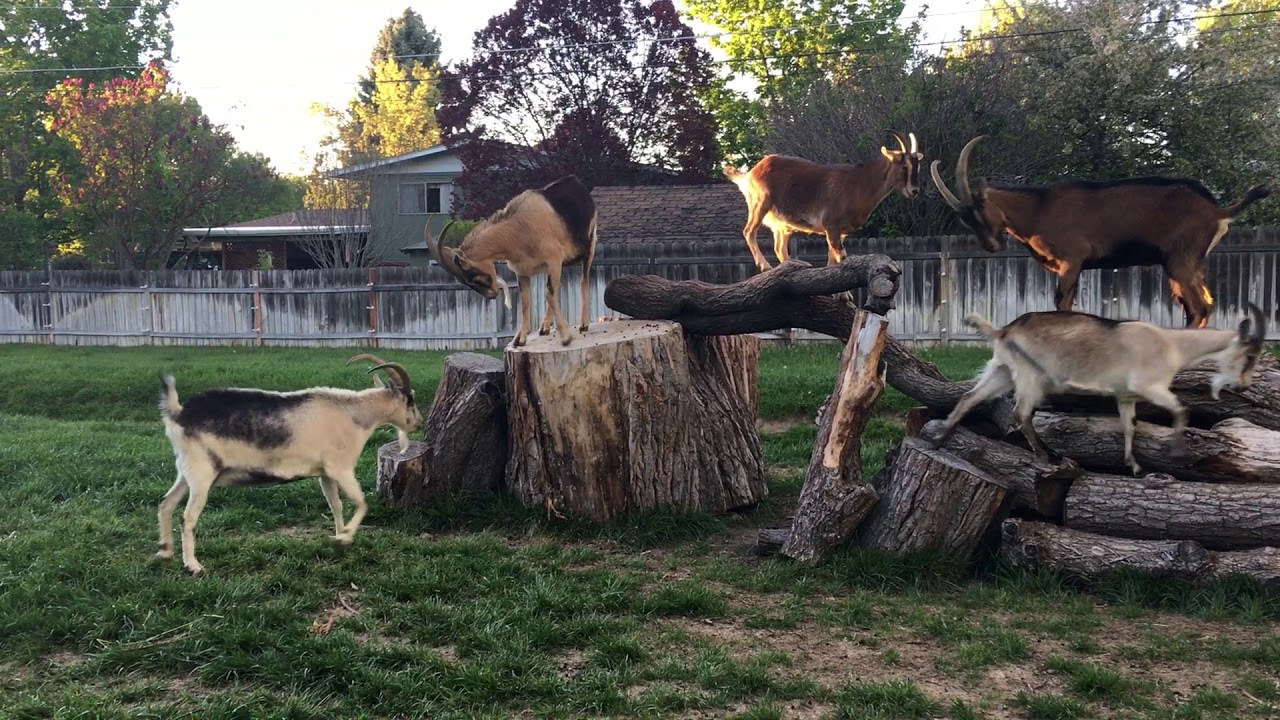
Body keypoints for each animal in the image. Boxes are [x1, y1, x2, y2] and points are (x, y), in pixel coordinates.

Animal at [154, 354, 422, 575]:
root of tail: (178, 412)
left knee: (166, 503)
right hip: (201, 473)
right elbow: (362, 502)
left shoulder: (325, 473)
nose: (417, 423)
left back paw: (165, 552)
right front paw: (345, 538)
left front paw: (338, 536)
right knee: (188, 517)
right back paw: (193, 566)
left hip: (185, 470)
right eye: (409, 400)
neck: (355, 415)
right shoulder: (341, 468)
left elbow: (335, 505)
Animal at [428, 174, 597, 347]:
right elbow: (526, 301)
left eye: (473, 277)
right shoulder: (522, 271)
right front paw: (520, 339)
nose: (492, 295)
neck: (519, 231)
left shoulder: (554, 258)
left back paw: (583, 324)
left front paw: (566, 337)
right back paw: (544, 327)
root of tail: (575, 181)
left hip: (590, 245)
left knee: (583, 281)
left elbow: (548, 294)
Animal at [724, 131, 925, 272]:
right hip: (760, 204)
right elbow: (842, 260)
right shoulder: (832, 227)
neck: (859, 182)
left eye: (917, 166)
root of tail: (751, 173)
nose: (914, 191)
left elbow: (833, 263)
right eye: (904, 166)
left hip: (782, 224)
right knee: (749, 231)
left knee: (779, 247)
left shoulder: (840, 233)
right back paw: (765, 266)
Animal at [928, 304, 1267, 475]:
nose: (1244, 384)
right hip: (1030, 376)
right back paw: (1046, 456)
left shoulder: (1126, 396)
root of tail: (1003, 330)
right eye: (1249, 355)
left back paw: (941, 438)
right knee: (1021, 413)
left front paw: (1134, 466)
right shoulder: (1149, 386)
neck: (1173, 344)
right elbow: (1181, 409)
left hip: (1002, 370)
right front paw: (1179, 452)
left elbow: (1130, 426)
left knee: (970, 398)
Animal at [931, 135, 1272, 328]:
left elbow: (1061, 302)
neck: (1039, 208)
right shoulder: (1073, 266)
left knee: (1199, 306)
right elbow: (1068, 304)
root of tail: (1218, 210)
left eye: (980, 209)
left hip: (1181, 259)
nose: (991, 246)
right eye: (965, 220)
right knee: (1200, 305)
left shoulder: (1072, 259)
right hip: (1187, 263)